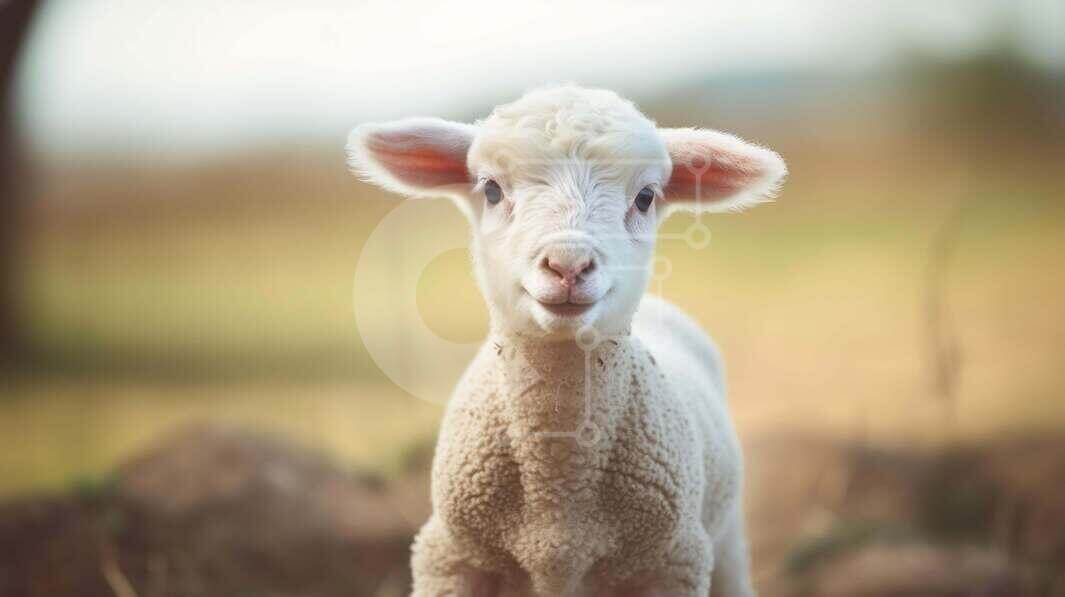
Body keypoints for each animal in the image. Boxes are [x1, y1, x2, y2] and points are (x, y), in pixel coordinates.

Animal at [347, 85, 786, 597]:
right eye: (491, 189)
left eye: (645, 197)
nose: (568, 265)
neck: (558, 487)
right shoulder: (449, 556)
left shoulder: (672, 562)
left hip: (727, 540)